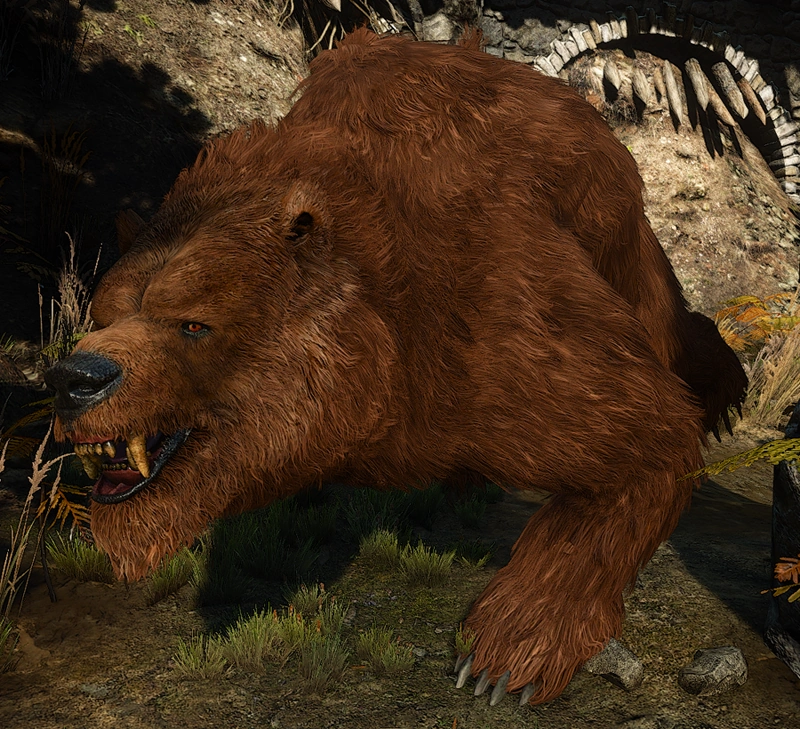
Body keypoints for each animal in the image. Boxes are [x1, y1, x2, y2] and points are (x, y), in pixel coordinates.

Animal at [45, 28, 747, 705]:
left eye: (193, 323)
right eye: (101, 315)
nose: (76, 379)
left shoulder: (500, 316)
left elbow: (650, 438)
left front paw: (506, 654)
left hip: (609, 230)